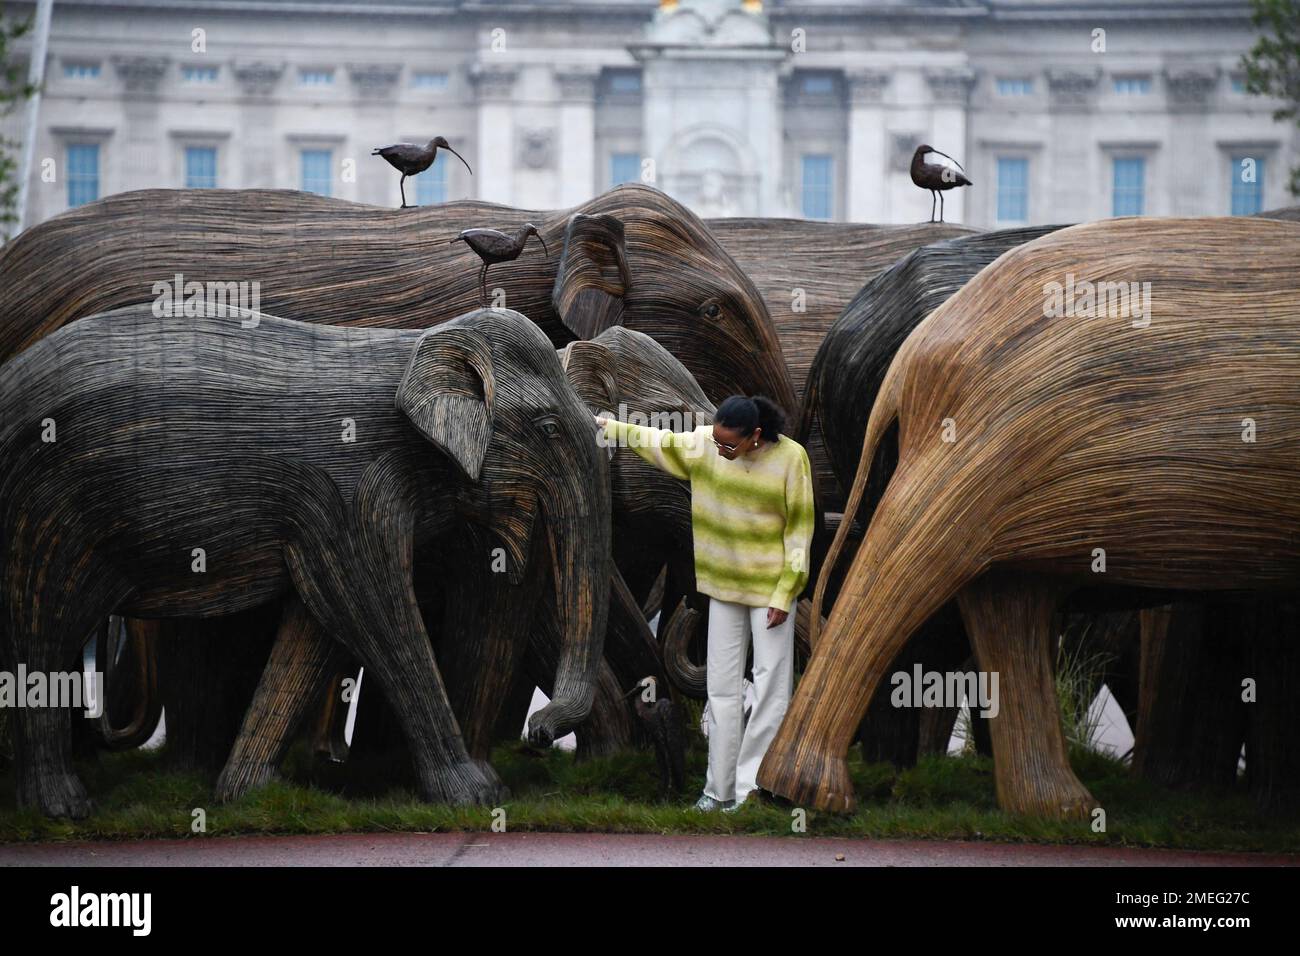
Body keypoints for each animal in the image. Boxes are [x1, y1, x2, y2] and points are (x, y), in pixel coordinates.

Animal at [0, 304, 610, 818]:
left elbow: (317, 622)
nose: (537, 735)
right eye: (549, 428)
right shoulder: (351, 491)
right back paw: (63, 809)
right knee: (42, 632)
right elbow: (370, 611)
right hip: (42, 514)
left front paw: (247, 793)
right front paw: (477, 795)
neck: (415, 344)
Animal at [756, 215, 1300, 818]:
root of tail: (907, 363)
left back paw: (1058, 808)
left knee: (1002, 601)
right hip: (982, 446)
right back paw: (809, 792)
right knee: (905, 561)